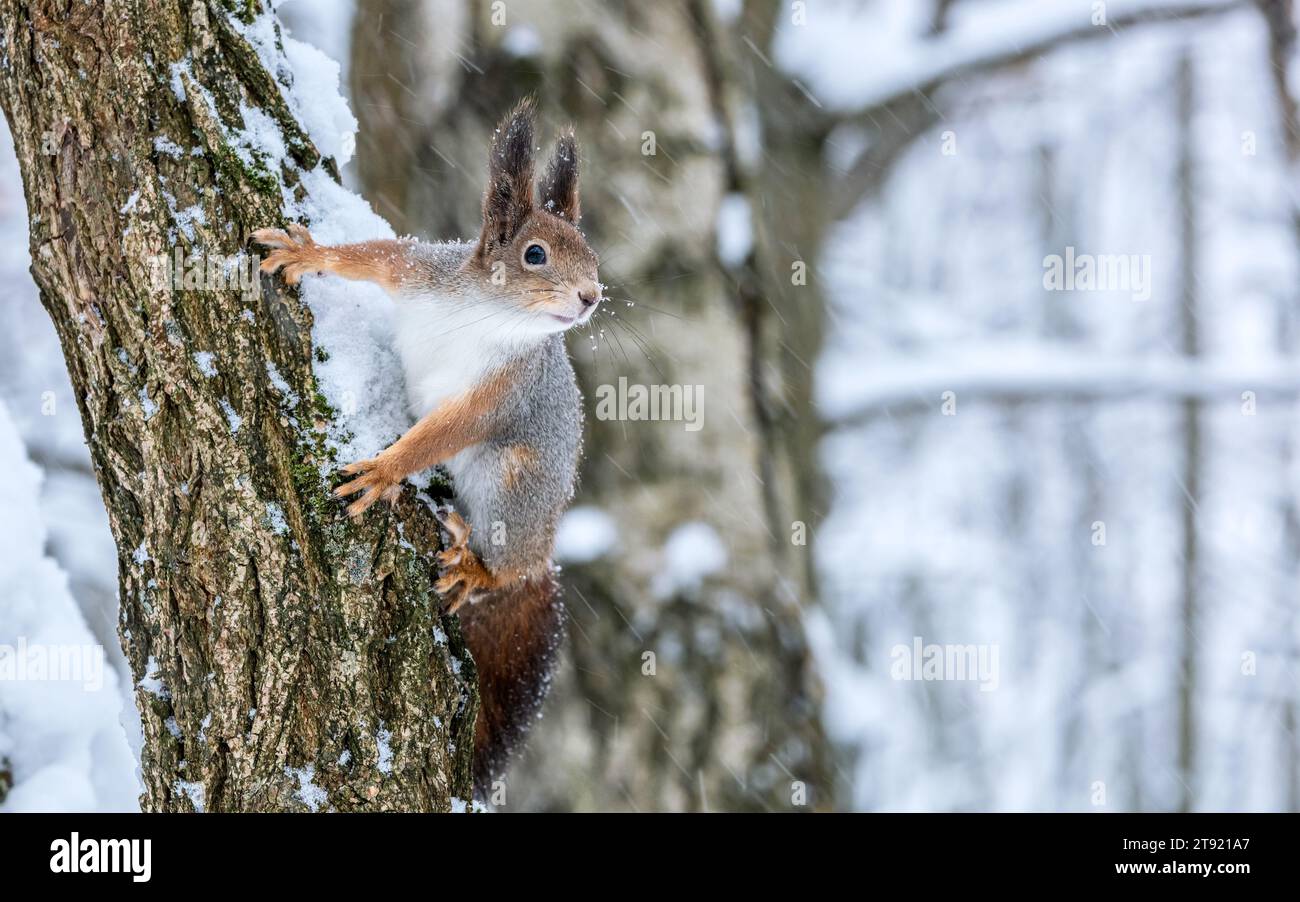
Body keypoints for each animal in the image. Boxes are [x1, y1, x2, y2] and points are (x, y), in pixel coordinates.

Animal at [252, 98, 599, 798]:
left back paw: (479, 567)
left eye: (592, 253)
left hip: (515, 483)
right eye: (536, 254)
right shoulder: (423, 273)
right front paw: (310, 252)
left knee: (509, 562)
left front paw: (384, 470)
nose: (591, 297)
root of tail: (543, 545)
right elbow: (378, 255)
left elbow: (442, 432)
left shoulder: (501, 394)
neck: (491, 314)